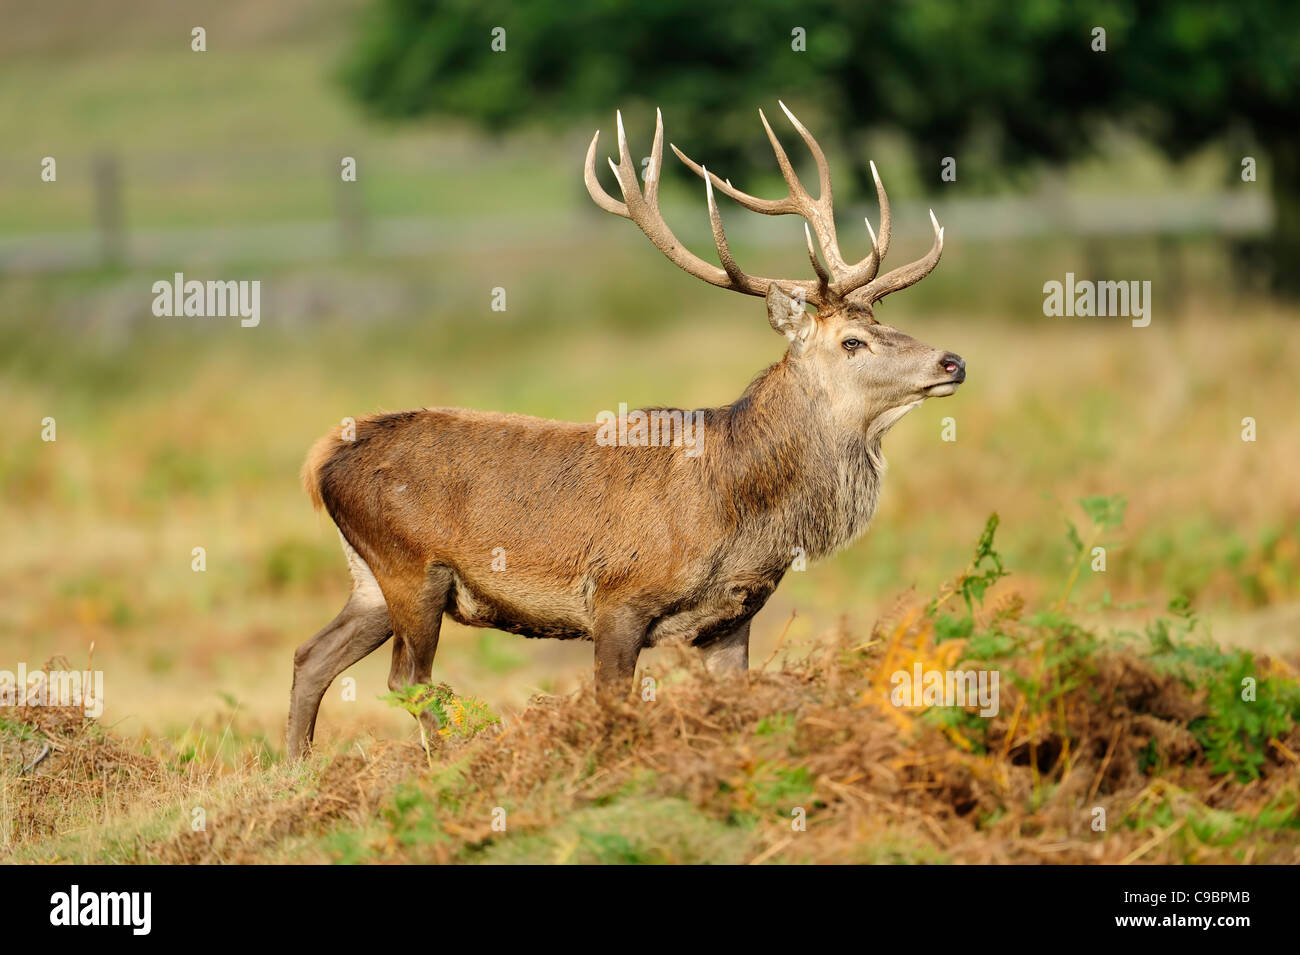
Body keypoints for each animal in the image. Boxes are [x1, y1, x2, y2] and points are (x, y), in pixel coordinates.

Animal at [287, 103, 965, 758]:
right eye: (852, 342)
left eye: (887, 323)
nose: (952, 361)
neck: (742, 519)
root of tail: (321, 460)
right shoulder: (617, 599)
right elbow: (610, 698)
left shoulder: (731, 621)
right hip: (410, 566)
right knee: (408, 678)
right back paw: (442, 763)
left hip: (370, 580)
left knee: (311, 655)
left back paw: (298, 770)